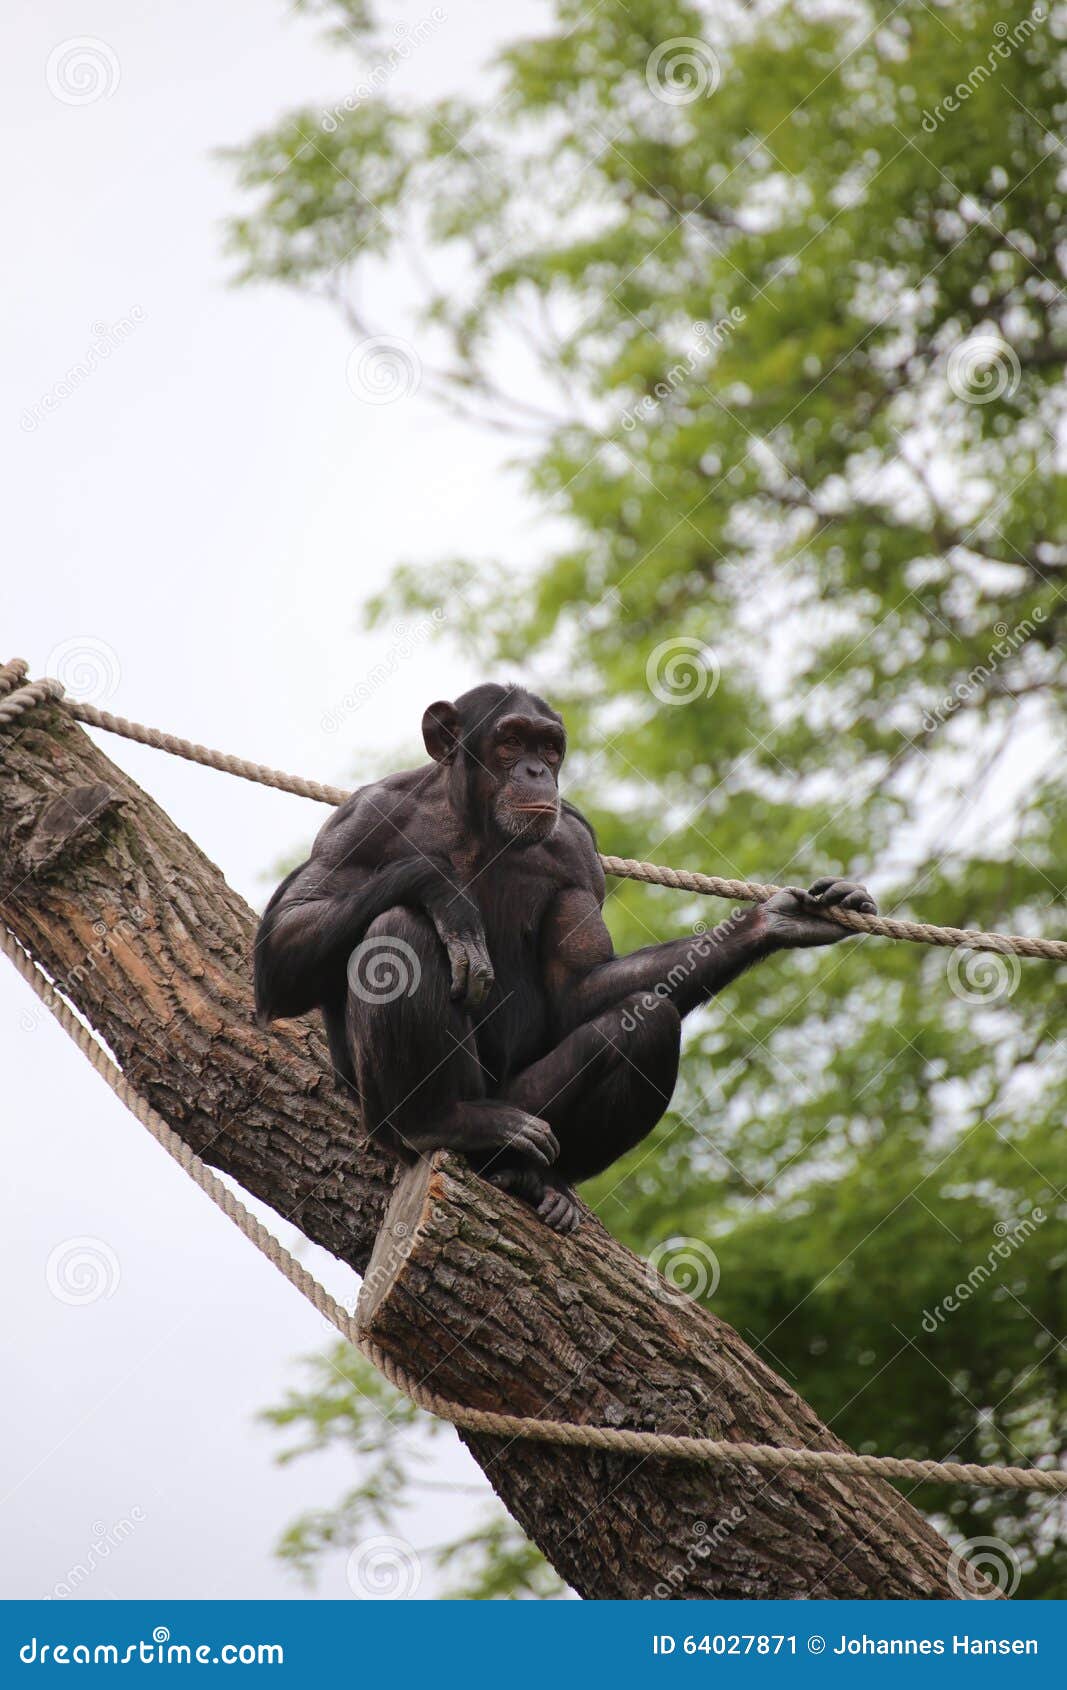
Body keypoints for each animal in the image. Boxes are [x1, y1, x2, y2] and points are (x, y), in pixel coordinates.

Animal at [255, 682, 877, 1234]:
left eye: (549, 746)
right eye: (511, 741)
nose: (537, 771)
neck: (475, 825)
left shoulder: (578, 850)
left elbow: (580, 985)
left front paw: (775, 921)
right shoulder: (358, 820)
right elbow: (284, 945)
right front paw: (443, 888)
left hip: (529, 1109)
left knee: (648, 1021)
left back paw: (543, 1181)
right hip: (394, 1111)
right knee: (396, 930)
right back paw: (432, 1124)